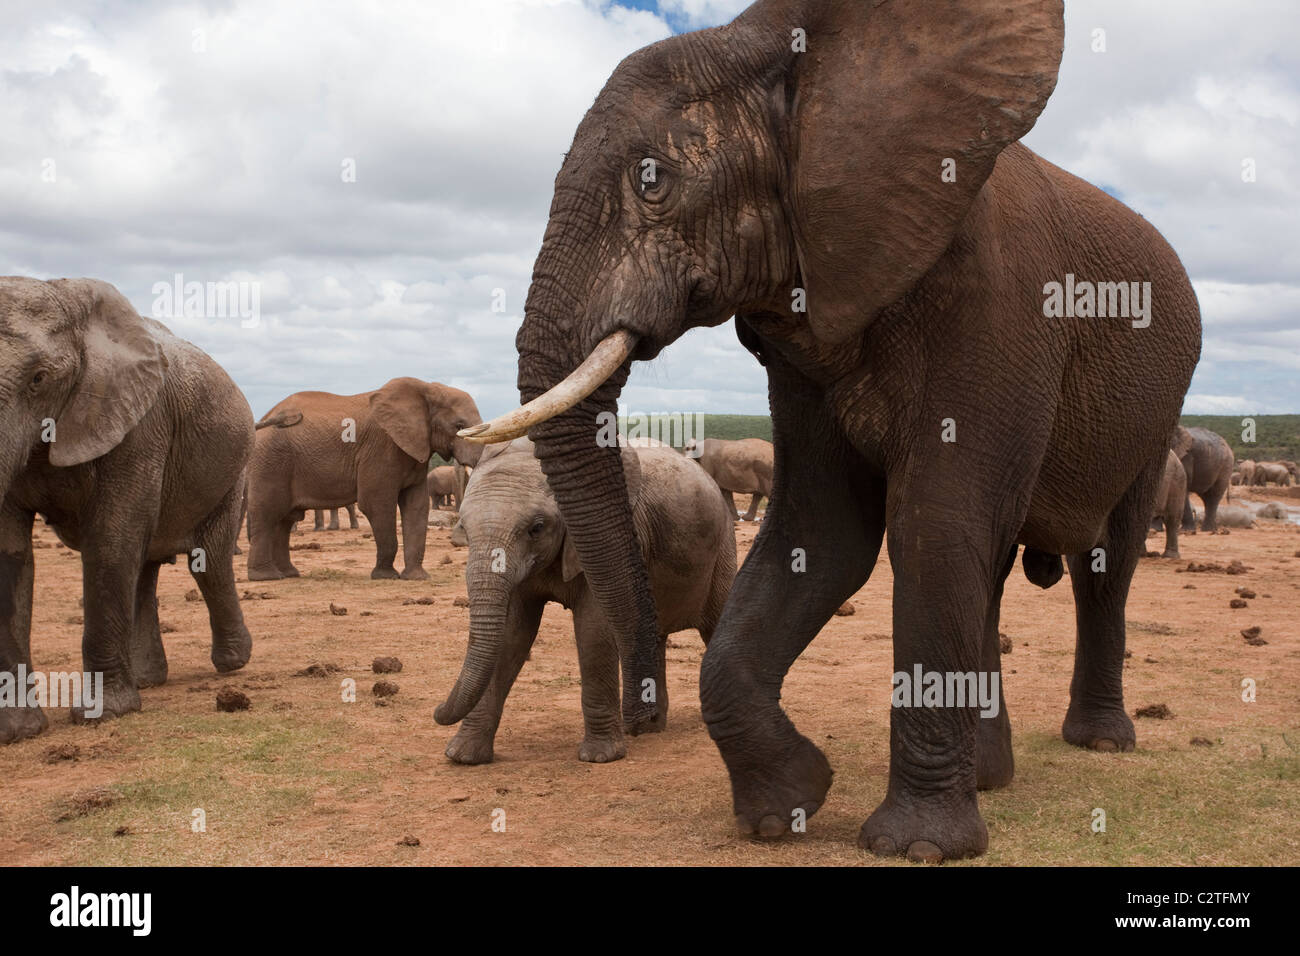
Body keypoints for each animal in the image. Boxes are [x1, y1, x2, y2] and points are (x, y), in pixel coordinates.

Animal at [0, 277, 258, 742]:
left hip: (235, 471)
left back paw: (232, 663)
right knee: (145, 567)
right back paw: (147, 679)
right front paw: (18, 732)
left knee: (208, 562)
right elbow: (10, 552)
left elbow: (111, 538)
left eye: (38, 379)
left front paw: (103, 714)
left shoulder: (140, 424)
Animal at [246, 379, 483, 581]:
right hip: (272, 461)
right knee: (268, 513)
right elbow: (377, 503)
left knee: (285, 520)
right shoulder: (381, 448)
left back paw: (289, 574)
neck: (427, 389)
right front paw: (386, 576)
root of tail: (265, 417)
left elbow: (416, 506)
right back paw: (266, 577)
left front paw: (417, 577)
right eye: (459, 425)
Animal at [434, 438, 736, 764]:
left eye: (537, 528)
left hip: (723, 547)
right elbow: (511, 632)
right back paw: (646, 729)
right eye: (464, 528)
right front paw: (462, 756)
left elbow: (594, 630)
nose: (437, 710)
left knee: (717, 624)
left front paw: (600, 757)